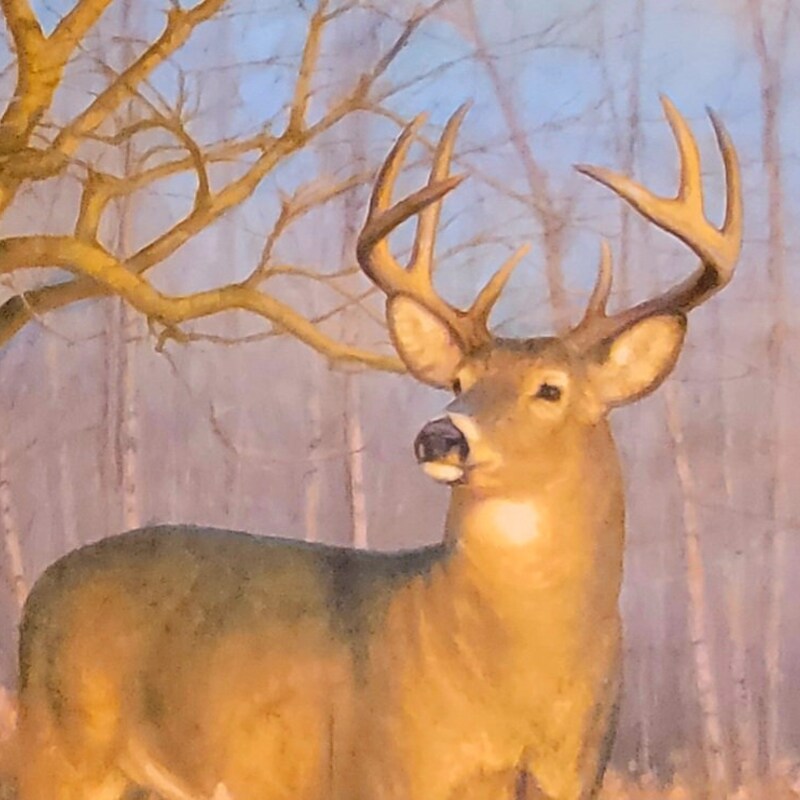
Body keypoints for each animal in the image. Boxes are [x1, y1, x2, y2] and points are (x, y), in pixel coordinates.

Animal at [15, 96, 741, 800]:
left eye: (550, 389)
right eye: (459, 382)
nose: (440, 434)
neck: (516, 692)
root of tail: (40, 590)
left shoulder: (575, 776)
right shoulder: (382, 767)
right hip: (57, 749)